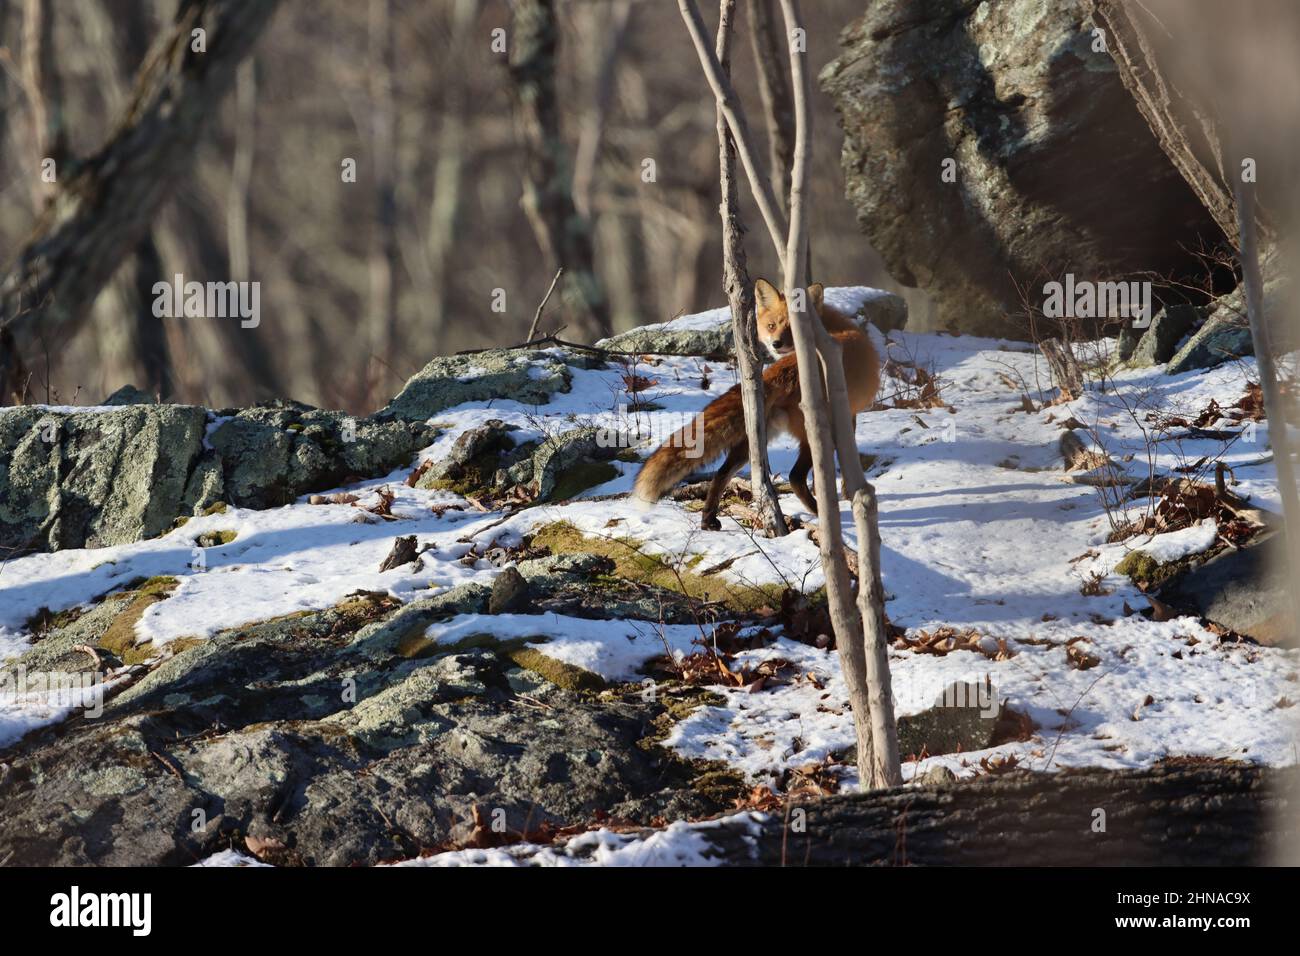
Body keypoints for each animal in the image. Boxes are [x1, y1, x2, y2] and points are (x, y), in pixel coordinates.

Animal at [633, 278, 881, 530]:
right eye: (772, 326)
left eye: (791, 329)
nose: (776, 343)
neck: (831, 328)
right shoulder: (848, 416)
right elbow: (848, 460)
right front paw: (849, 492)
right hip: (813, 432)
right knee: (795, 476)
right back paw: (822, 513)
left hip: (755, 437)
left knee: (721, 473)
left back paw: (708, 519)